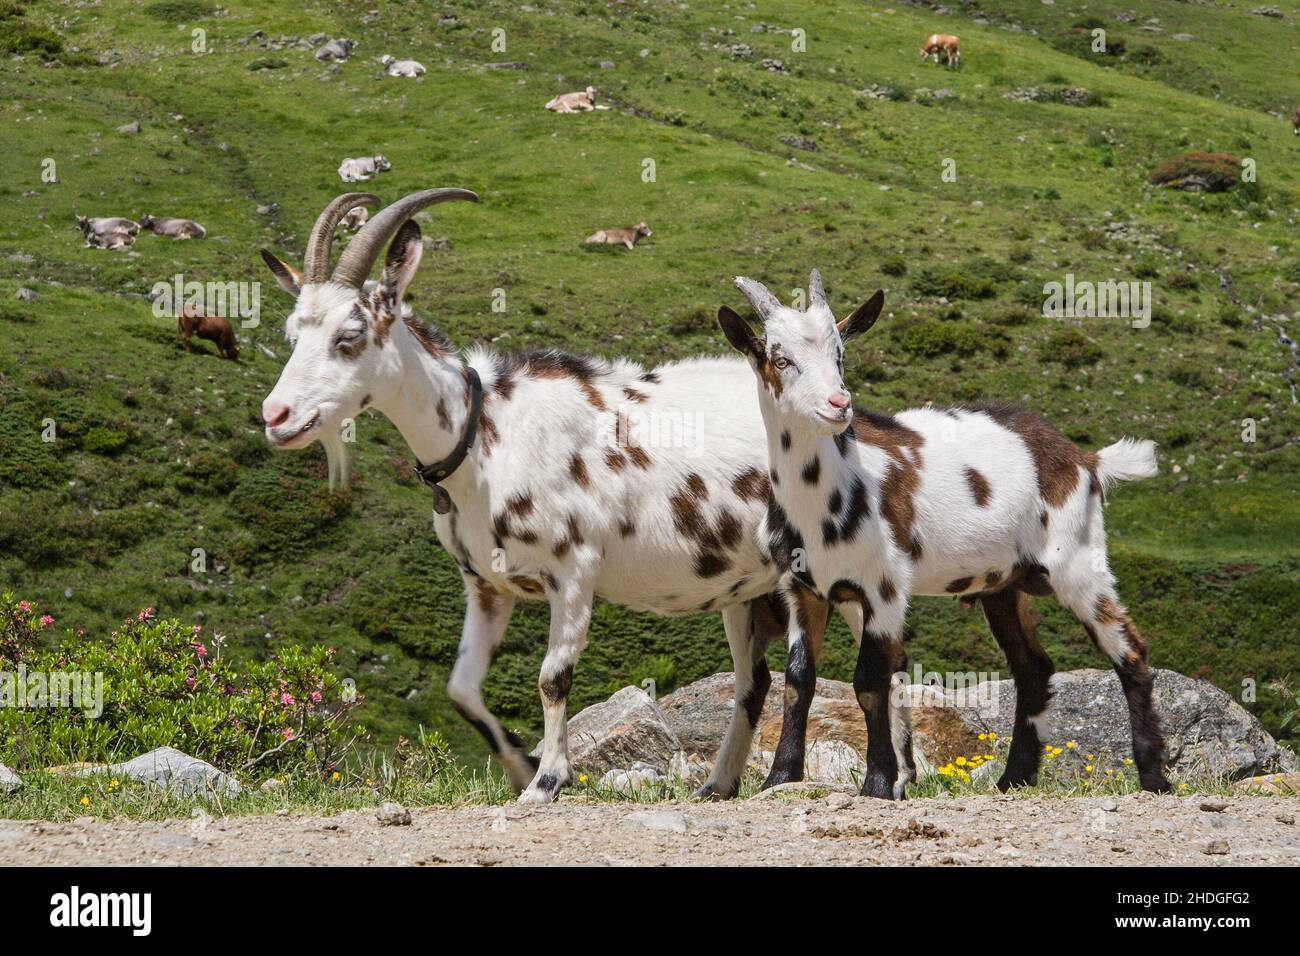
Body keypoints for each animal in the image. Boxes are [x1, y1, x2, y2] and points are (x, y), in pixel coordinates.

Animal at [258, 191, 843, 804]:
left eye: (348, 336)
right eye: (293, 333)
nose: (276, 416)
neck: (486, 436)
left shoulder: (574, 571)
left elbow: (552, 677)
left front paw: (547, 780)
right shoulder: (486, 585)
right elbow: (461, 688)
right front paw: (520, 763)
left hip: (801, 563)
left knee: (799, 668)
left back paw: (781, 776)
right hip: (740, 587)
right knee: (753, 680)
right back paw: (719, 784)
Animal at [717, 271, 1170, 798]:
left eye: (840, 353)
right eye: (779, 358)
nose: (839, 404)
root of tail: (1084, 459)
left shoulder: (885, 588)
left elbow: (870, 681)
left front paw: (879, 782)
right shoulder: (802, 588)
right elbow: (798, 680)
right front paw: (781, 777)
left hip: (1077, 559)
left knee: (1129, 649)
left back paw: (1154, 776)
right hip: (1005, 584)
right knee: (1033, 669)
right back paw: (1014, 779)